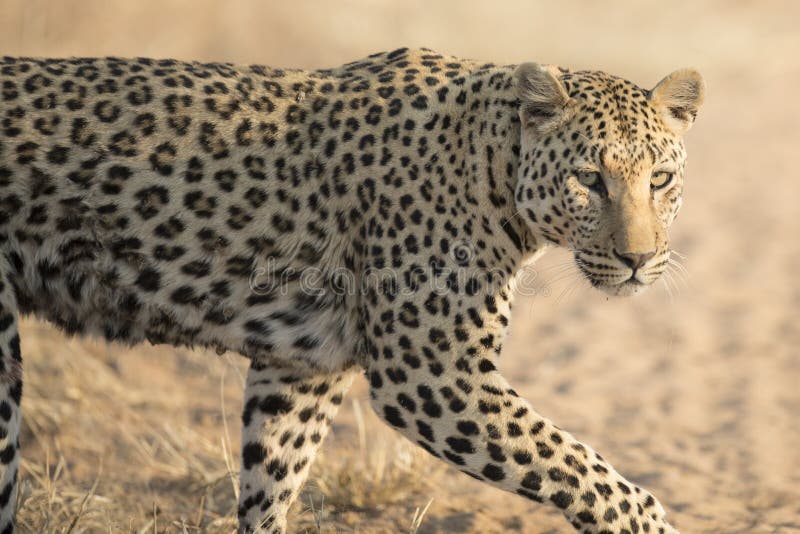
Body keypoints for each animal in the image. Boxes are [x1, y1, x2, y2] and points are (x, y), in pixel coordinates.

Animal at [0, 47, 704, 533]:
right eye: (588, 179)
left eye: (661, 179)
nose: (639, 260)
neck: (493, 167)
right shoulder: (432, 373)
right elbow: (584, 471)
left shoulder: (303, 368)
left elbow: (271, 482)